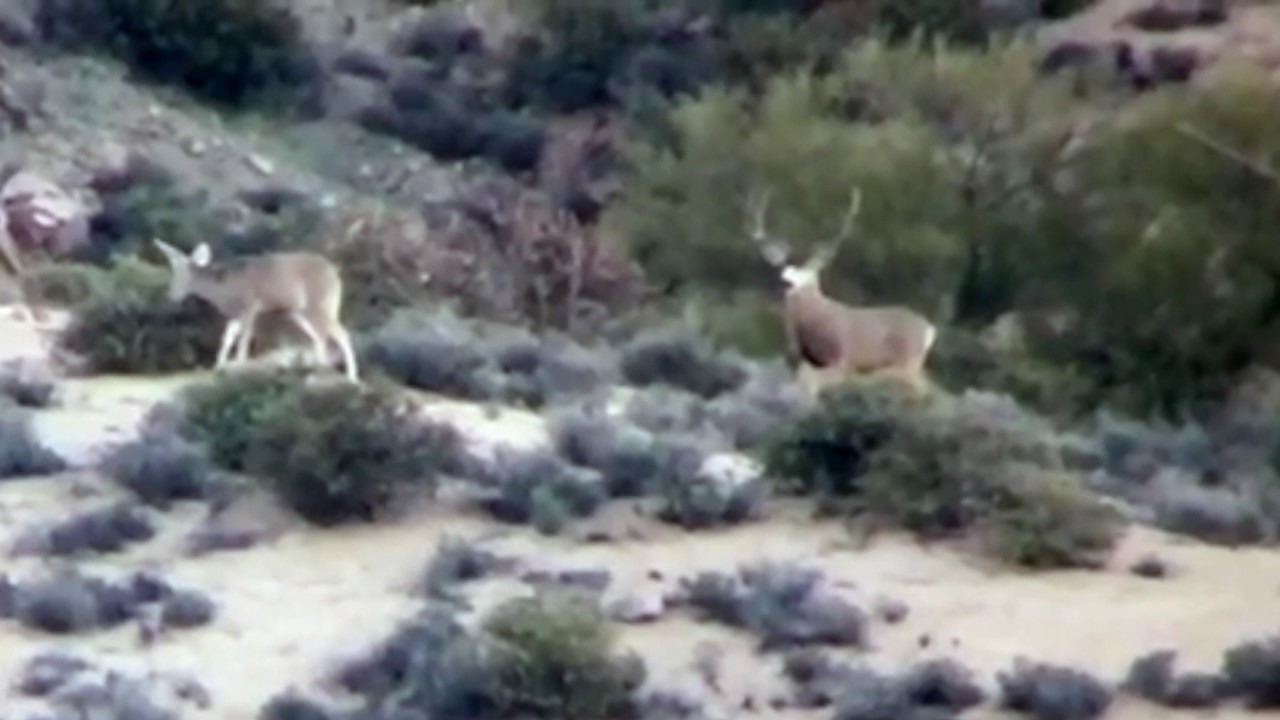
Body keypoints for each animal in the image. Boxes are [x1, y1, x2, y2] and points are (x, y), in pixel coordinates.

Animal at [152, 239, 359, 382]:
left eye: (179, 273)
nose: (171, 295)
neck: (222, 290)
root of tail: (335, 274)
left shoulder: (250, 304)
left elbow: (244, 338)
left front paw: (239, 365)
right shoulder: (237, 313)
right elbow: (228, 337)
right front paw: (218, 367)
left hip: (322, 303)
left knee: (336, 334)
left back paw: (339, 375)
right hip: (301, 311)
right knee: (322, 336)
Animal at [745, 184, 938, 398]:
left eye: (810, 273)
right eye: (783, 270)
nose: (785, 282)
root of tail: (929, 329)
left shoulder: (841, 359)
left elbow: (811, 379)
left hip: (908, 360)